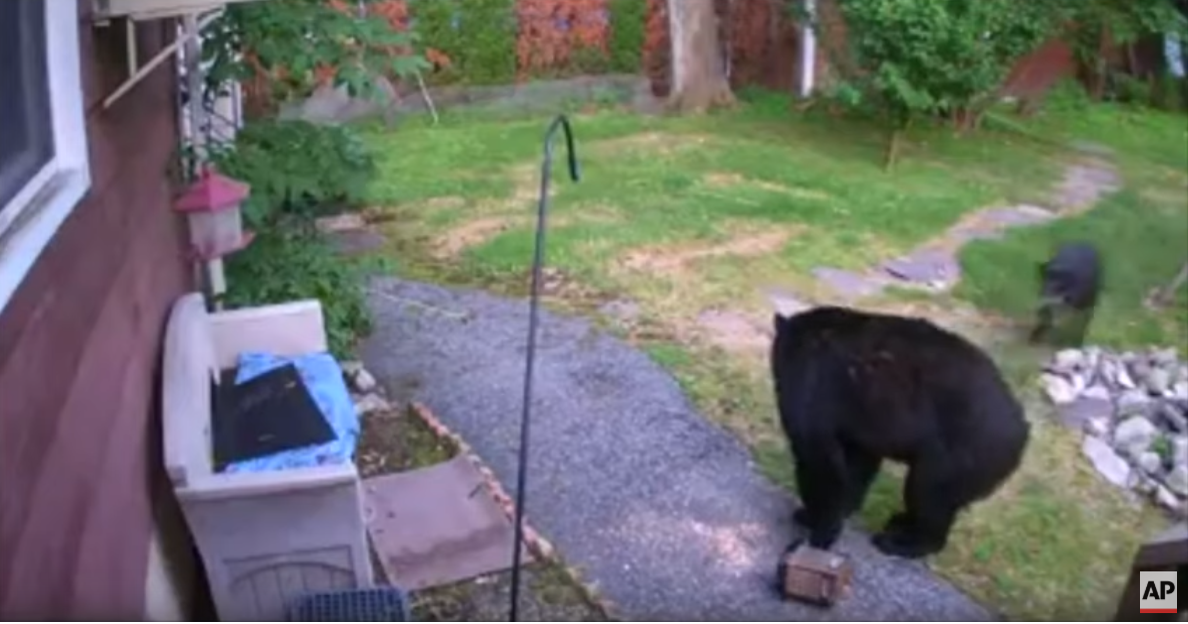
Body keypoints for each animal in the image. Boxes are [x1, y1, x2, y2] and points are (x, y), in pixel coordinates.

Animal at [770, 305, 1031, 560]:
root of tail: (1022, 430)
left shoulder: (811, 387)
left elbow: (819, 460)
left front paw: (815, 529)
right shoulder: (864, 423)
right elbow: (857, 466)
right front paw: (840, 510)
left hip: (958, 457)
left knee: (928, 495)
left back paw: (900, 543)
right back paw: (900, 523)